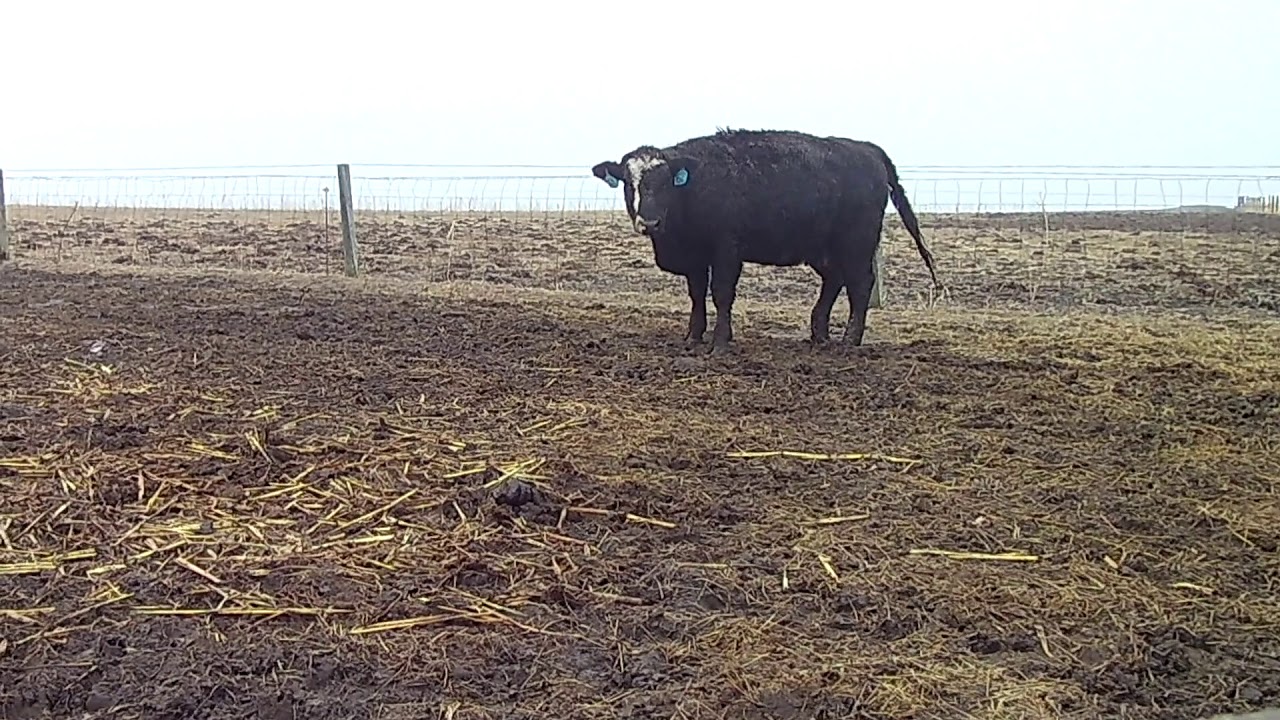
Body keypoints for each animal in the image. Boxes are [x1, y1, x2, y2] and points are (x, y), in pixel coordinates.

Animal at [590, 128, 942, 352]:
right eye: (629, 183)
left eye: (665, 182)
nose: (649, 222)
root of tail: (867, 148)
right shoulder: (695, 257)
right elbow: (696, 295)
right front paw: (693, 336)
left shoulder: (727, 251)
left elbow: (721, 295)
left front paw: (720, 342)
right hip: (824, 249)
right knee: (834, 280)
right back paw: (819, 333)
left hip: (857, 243)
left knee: (860, 285)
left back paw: (849, 340)